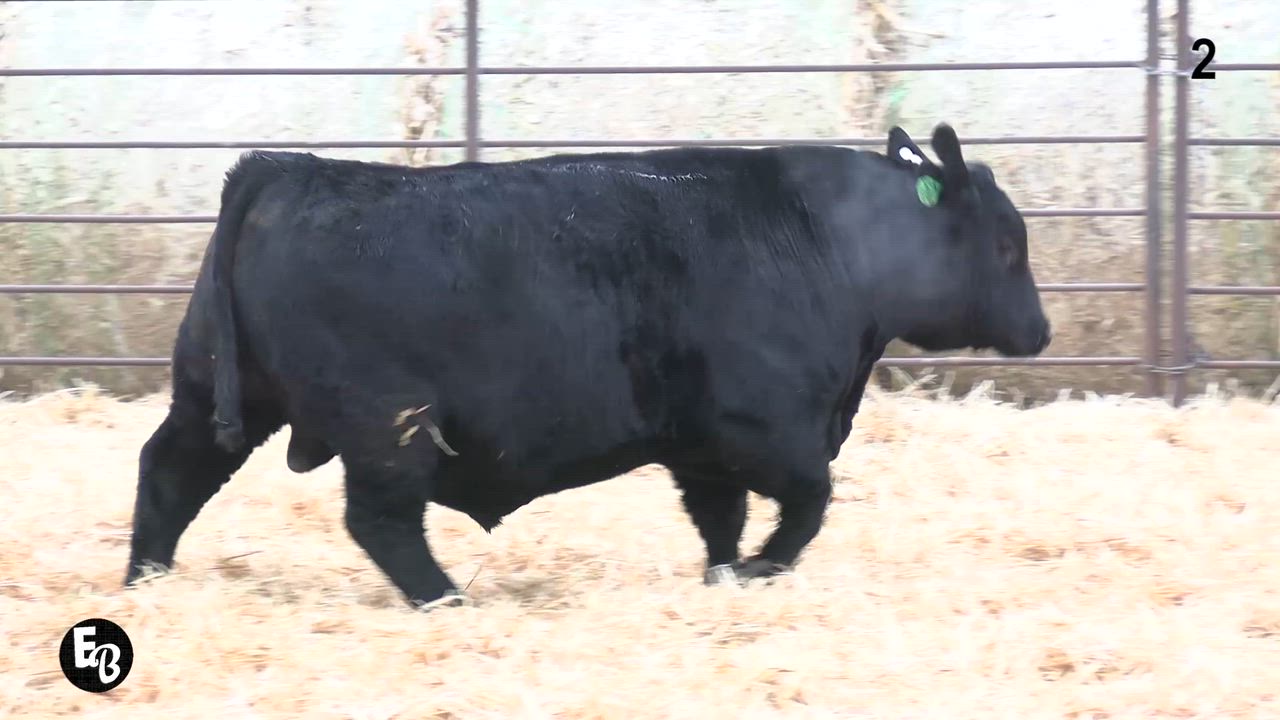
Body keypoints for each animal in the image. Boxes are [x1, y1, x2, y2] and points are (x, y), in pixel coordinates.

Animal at [123, 123, 1051, 609]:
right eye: (1008, 245)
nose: (1041, 331)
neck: (828, 242)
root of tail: (288, 168)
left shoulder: (702, 447)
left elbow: (720, 523)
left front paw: (726, 577)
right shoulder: (769, 430)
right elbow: (808, 506)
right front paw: (763, 571)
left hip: (215, 392)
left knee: (169, 472)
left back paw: (145, 582)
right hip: (392, 427)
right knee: (380, 521)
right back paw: (447, 599)